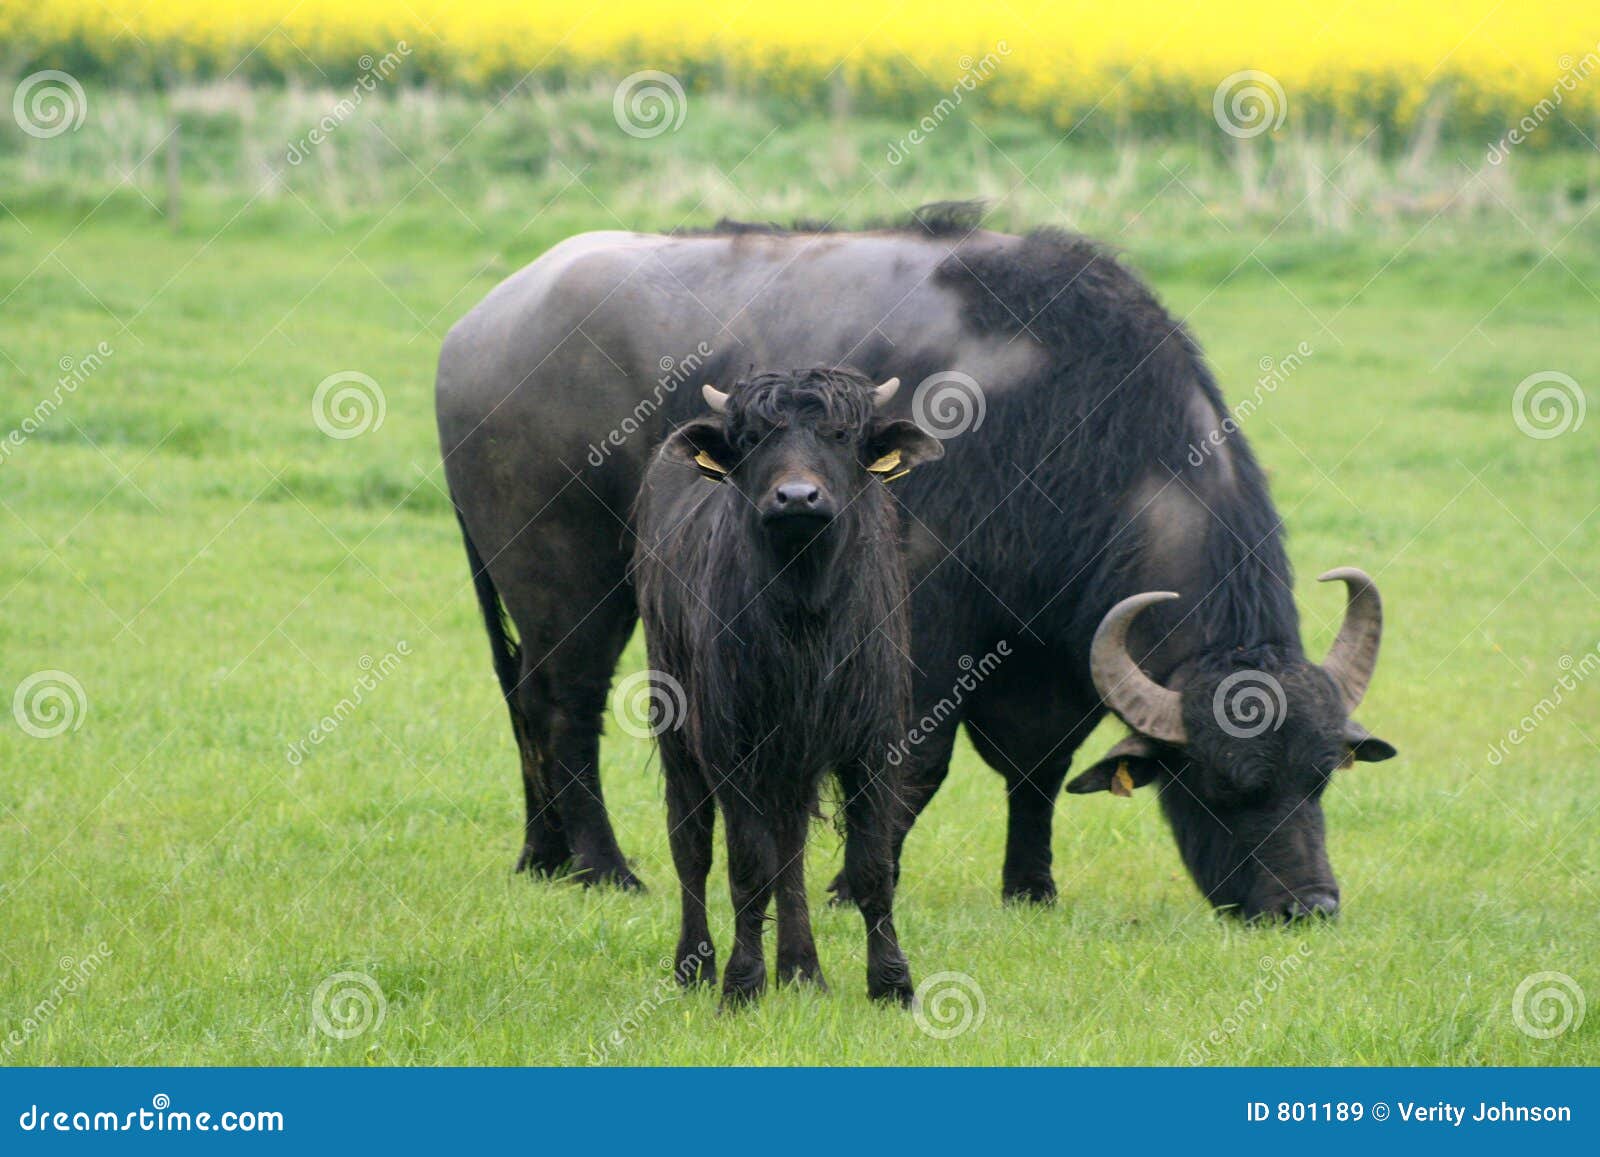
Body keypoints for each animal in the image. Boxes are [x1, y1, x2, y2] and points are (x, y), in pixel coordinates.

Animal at [437, 203, 1396, 920]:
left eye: (1322, 775)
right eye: (1222, 783)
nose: (1310, 905)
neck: (1068, 423)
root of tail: (478, 330)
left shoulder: (1052, 654)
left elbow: (1038, 770)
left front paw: (1031, 888)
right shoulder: (925, 627)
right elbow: (915, 763)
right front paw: (850, 885)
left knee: (524, 702)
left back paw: (543, 856)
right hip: (569, 580)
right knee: (565, 707)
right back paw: (604, 867)